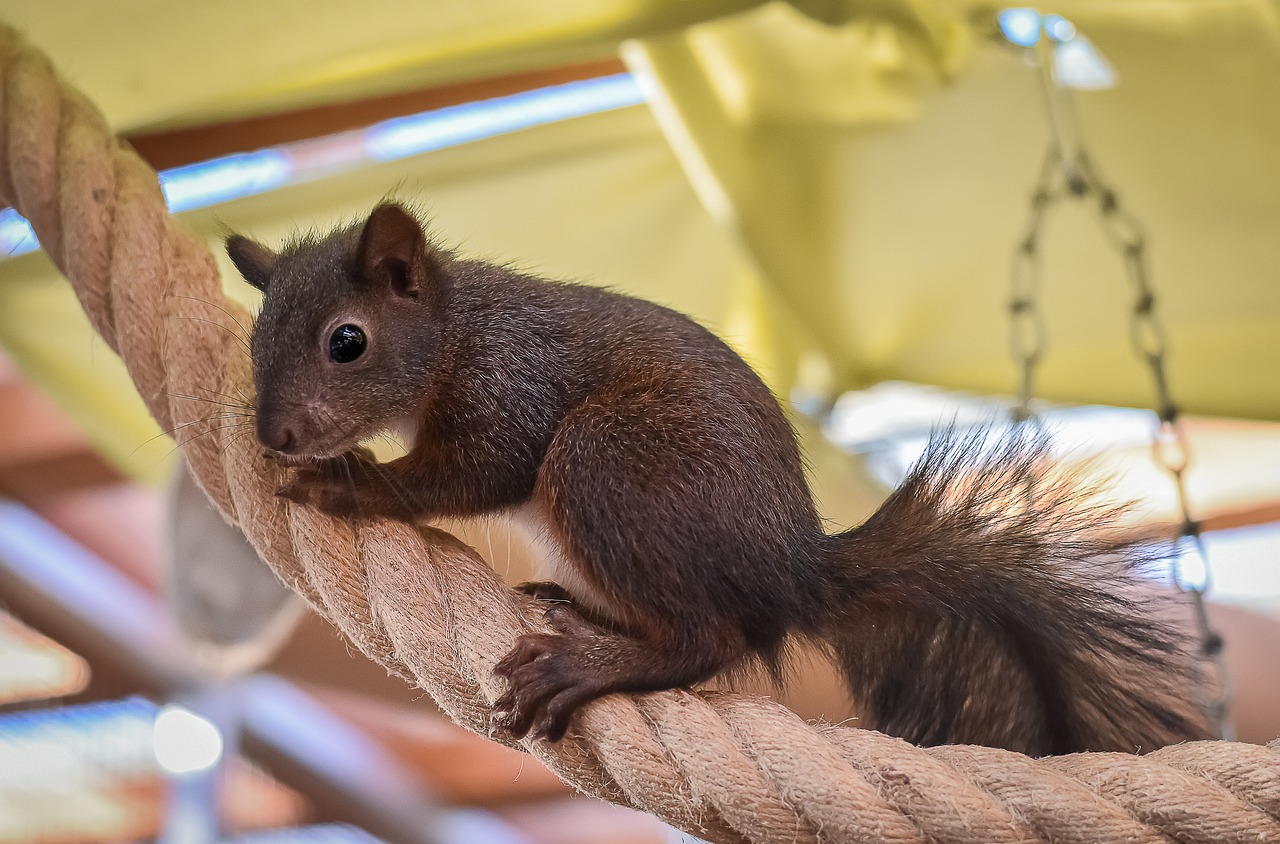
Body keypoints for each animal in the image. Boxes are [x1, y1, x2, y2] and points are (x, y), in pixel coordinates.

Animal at [226, 202, 1208, 753]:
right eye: (257, 338)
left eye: (347, 341)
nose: (277, 432)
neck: (457, 330)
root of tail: (794, 569)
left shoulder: (511, 388)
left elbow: (470, 474)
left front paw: (348, 483)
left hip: (610, 461)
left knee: (709, 640)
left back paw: (590, 663)